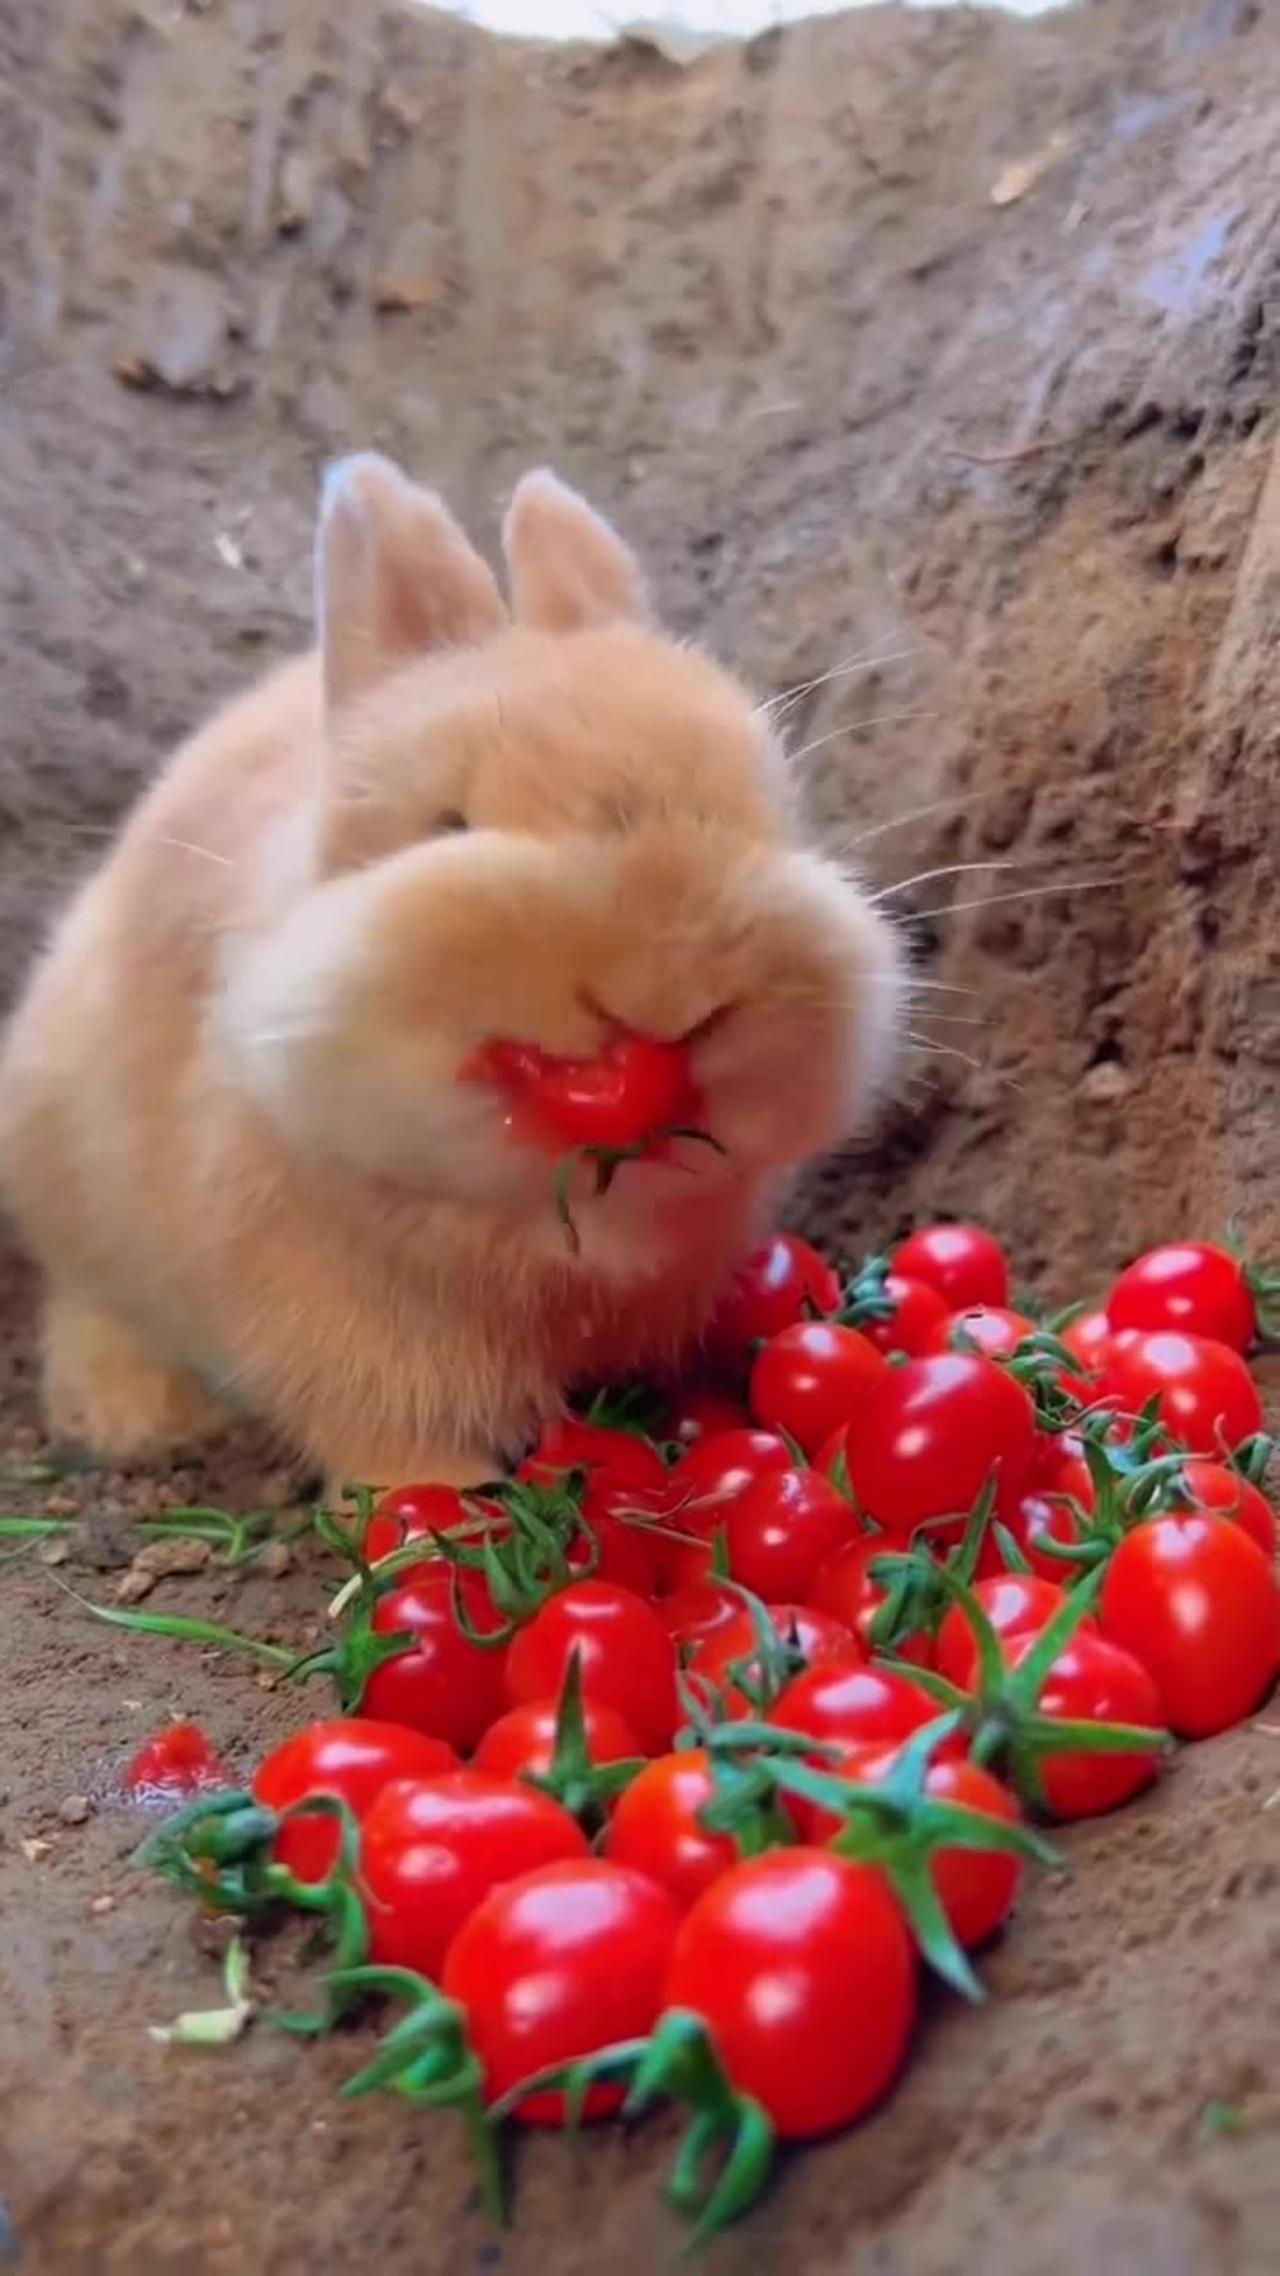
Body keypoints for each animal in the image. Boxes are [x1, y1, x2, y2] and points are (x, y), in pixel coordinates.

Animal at [0, 454, 905, 1491]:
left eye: (768, 812)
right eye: (449, 824)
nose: (669, 989)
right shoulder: (335, 1333)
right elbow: (390, 1441)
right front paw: (447, 1503)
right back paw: (133, 1418)